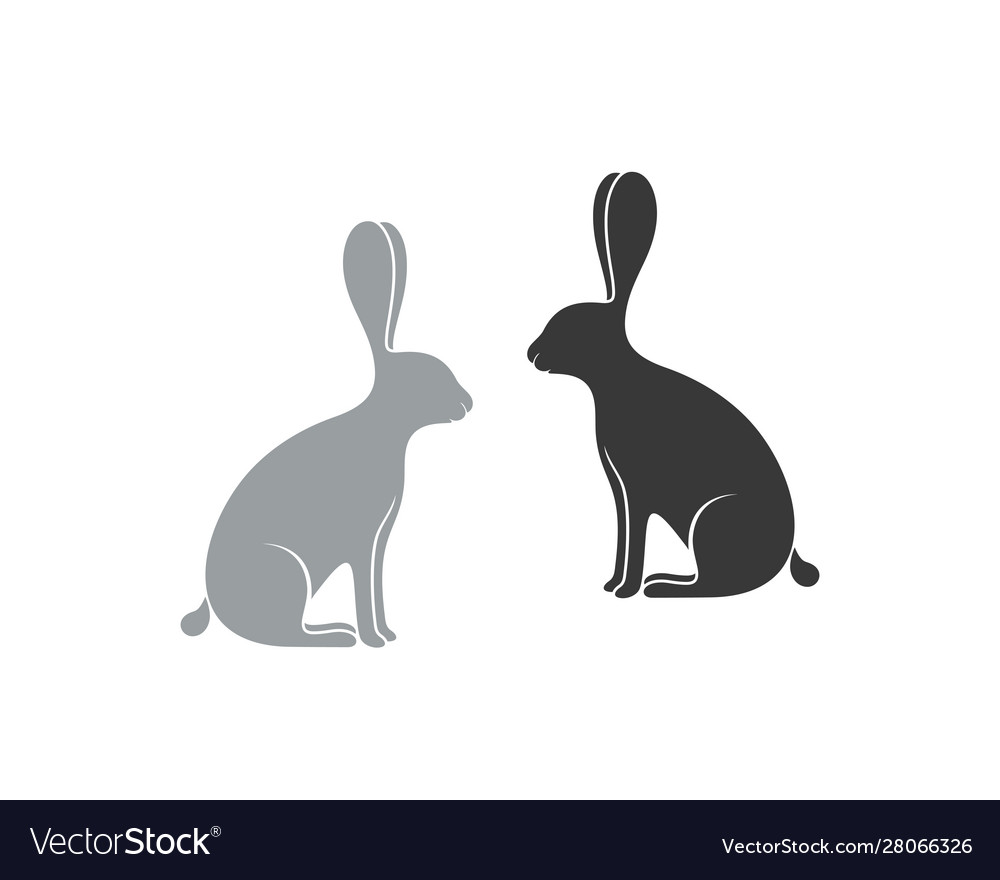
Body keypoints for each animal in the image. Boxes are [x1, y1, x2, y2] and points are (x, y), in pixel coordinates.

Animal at [181, 221, 472, 646]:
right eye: (428, 377)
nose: (469, 403)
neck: (384, 429)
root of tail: (217, 607)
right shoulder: (361, 540)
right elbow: (363, 589)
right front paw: (374, 639)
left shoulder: (379, 543)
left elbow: (376, 586)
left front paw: (388, 634)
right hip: (286, 571)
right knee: (283, 632)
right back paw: (339, 635)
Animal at [527, 172, 819, 599]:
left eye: (571, 328)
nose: (530, 354)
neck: (617, 380)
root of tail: (782, 556)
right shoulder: (621, 492)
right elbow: (624, 537)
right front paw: (611, 585)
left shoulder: (637, 490)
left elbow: (635, 540)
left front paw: (625, 590)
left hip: (714, 520)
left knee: (716, 583)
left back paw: (660, 586)